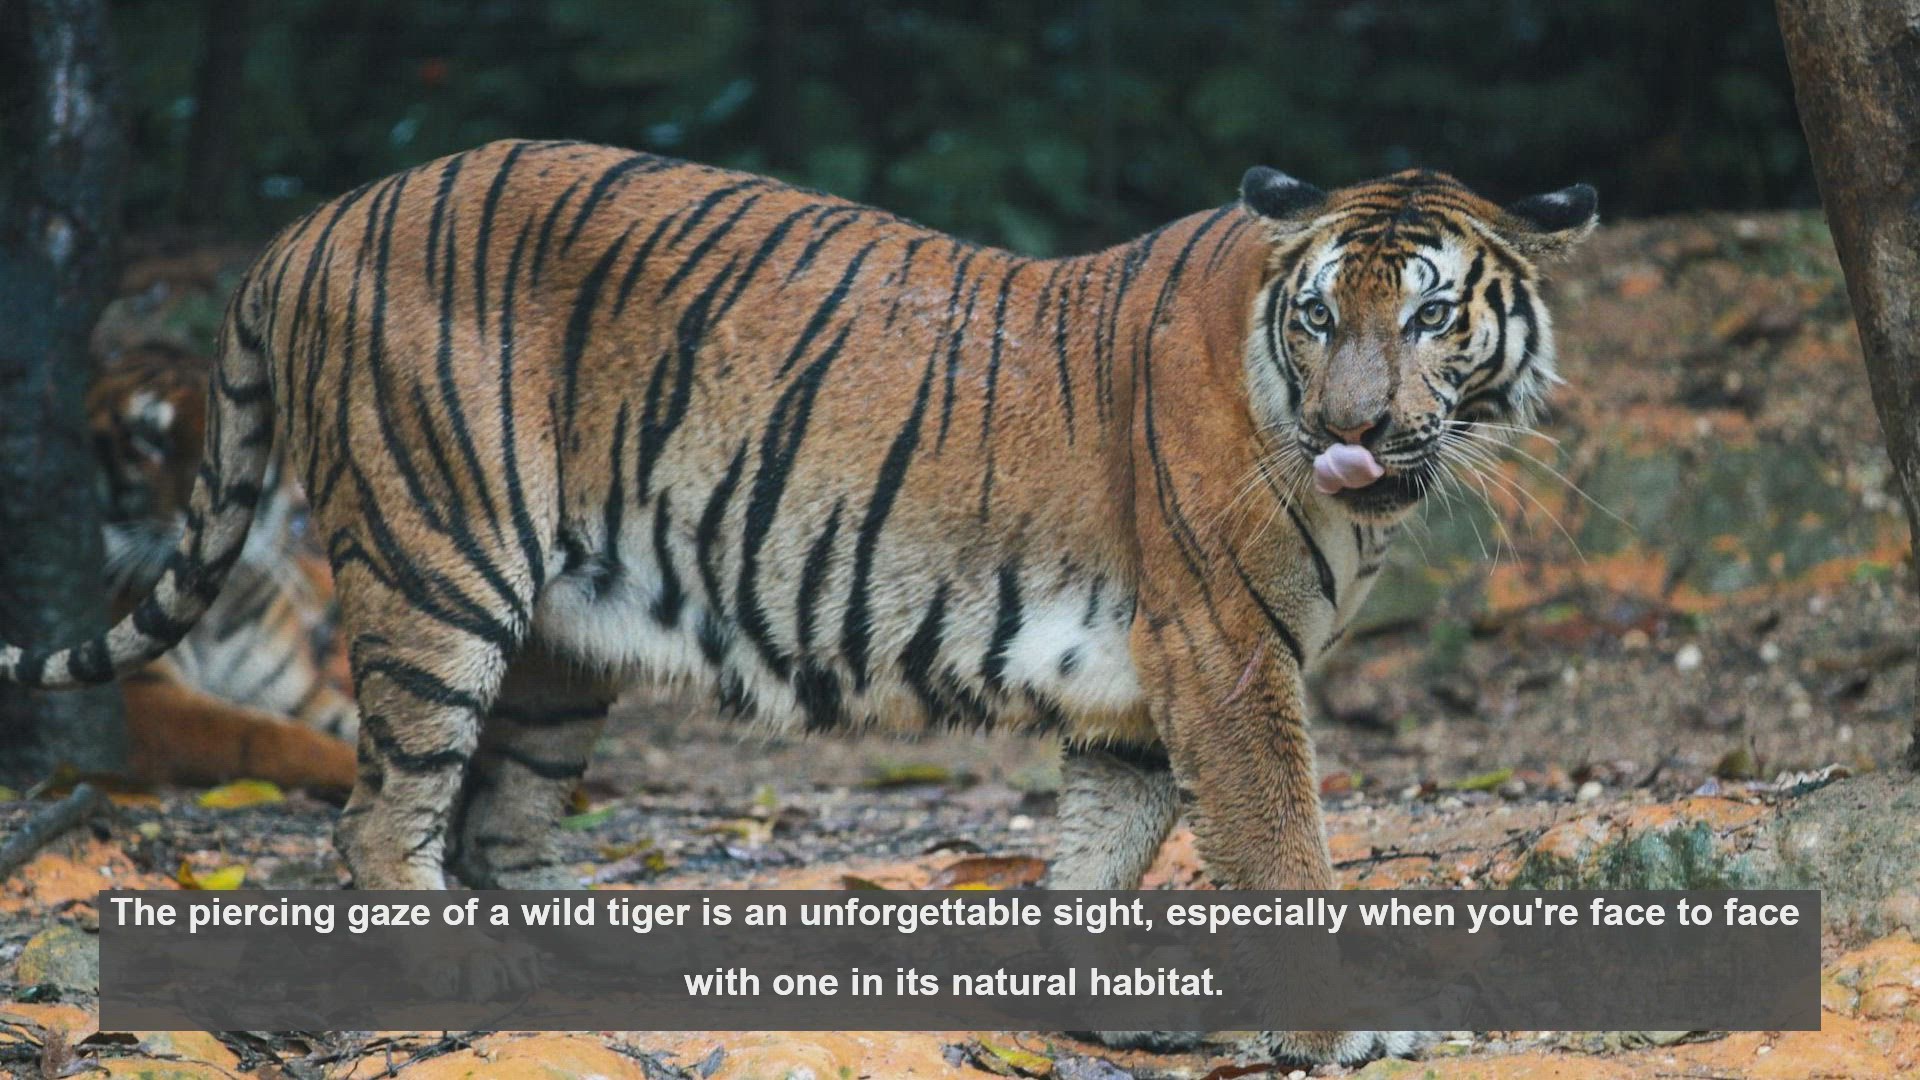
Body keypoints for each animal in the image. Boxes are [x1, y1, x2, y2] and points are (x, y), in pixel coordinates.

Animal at [89, 343, 357, 790]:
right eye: (150, 438)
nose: (212, 509)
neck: (216, 606)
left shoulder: (301, 695)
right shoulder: (144, 698)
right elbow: (268, 738)